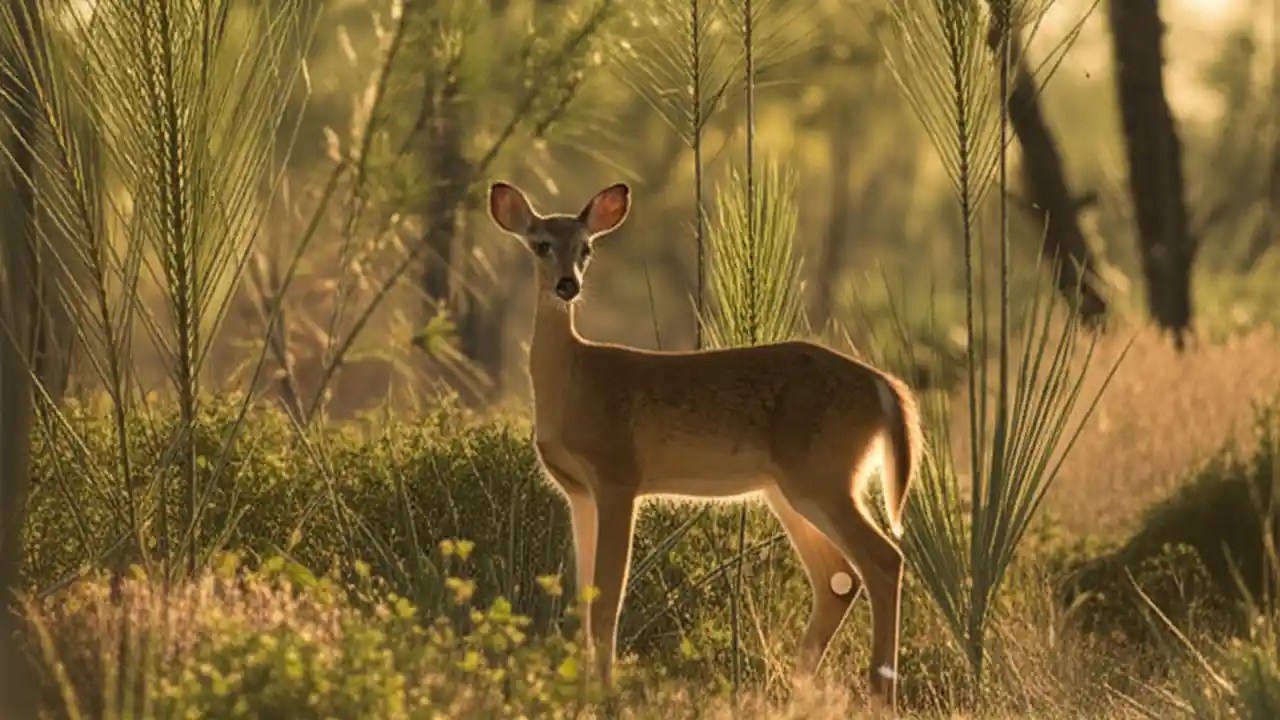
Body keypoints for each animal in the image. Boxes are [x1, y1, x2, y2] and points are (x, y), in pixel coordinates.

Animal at [487, 180, 923, 710]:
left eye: (587, 248)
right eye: (541, 244)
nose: (567, 285)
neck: (573, 382)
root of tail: (885, 387)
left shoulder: (617, 475)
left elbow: (609, 598)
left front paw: (606, 694)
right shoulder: (579, 491)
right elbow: (585, 598)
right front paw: (584, 691)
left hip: (823, 477)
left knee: (883, 559)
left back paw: (879, 693)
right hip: (790, 489)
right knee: (838, 578)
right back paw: (796, 691)